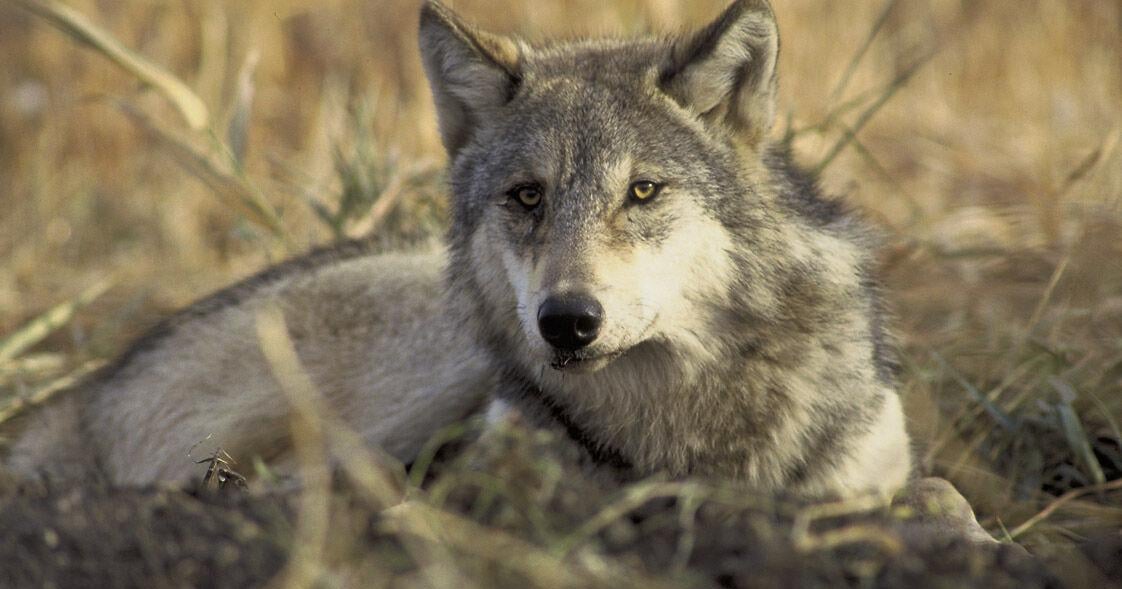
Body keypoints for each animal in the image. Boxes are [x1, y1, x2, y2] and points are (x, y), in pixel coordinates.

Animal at [4, 0, 911, 499]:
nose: (567, 321)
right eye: (527, 196)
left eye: (643, 191)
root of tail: (88, 390)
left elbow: (925, 495)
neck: (679, 426)